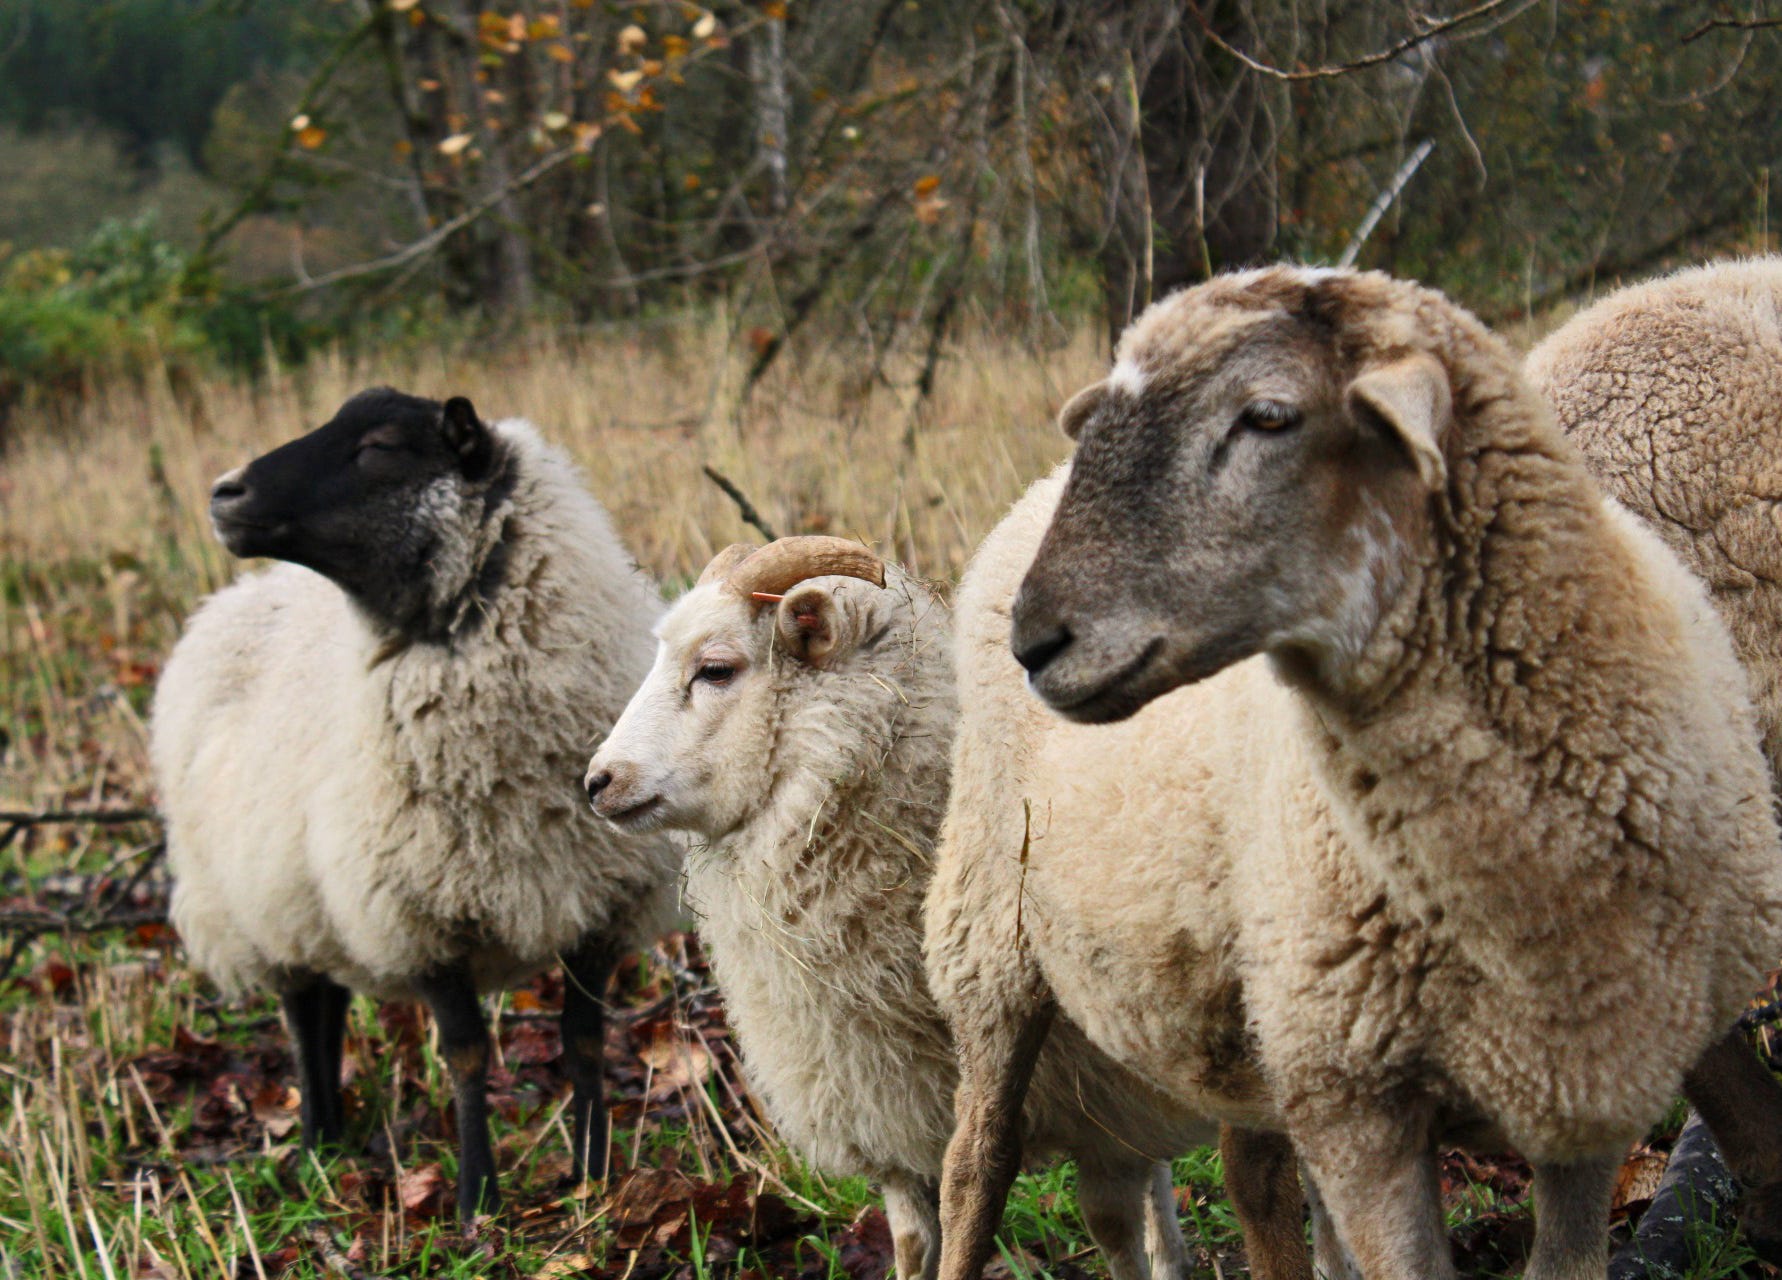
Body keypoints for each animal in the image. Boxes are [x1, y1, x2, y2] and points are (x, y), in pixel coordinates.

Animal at [152, 388, 679, 1219]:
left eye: (379, 446)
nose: (224, 494)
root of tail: (237, 595)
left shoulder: (601, 904)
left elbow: (585, 1042)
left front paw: (594, 1176)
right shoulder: (420, 912)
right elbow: (464, 1055)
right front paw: (476, 1199)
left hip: (304, 895)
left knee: (328, 1003)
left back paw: (332, 1136)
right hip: (258, 900)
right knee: (304, 1010)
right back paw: (315, 1139)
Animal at [582, 536, 1313, 1280]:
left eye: (716, 669)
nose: (597, 782)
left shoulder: (1102, 1111)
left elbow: (1110, 1223)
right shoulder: (891, 1117)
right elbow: (912, 1240)